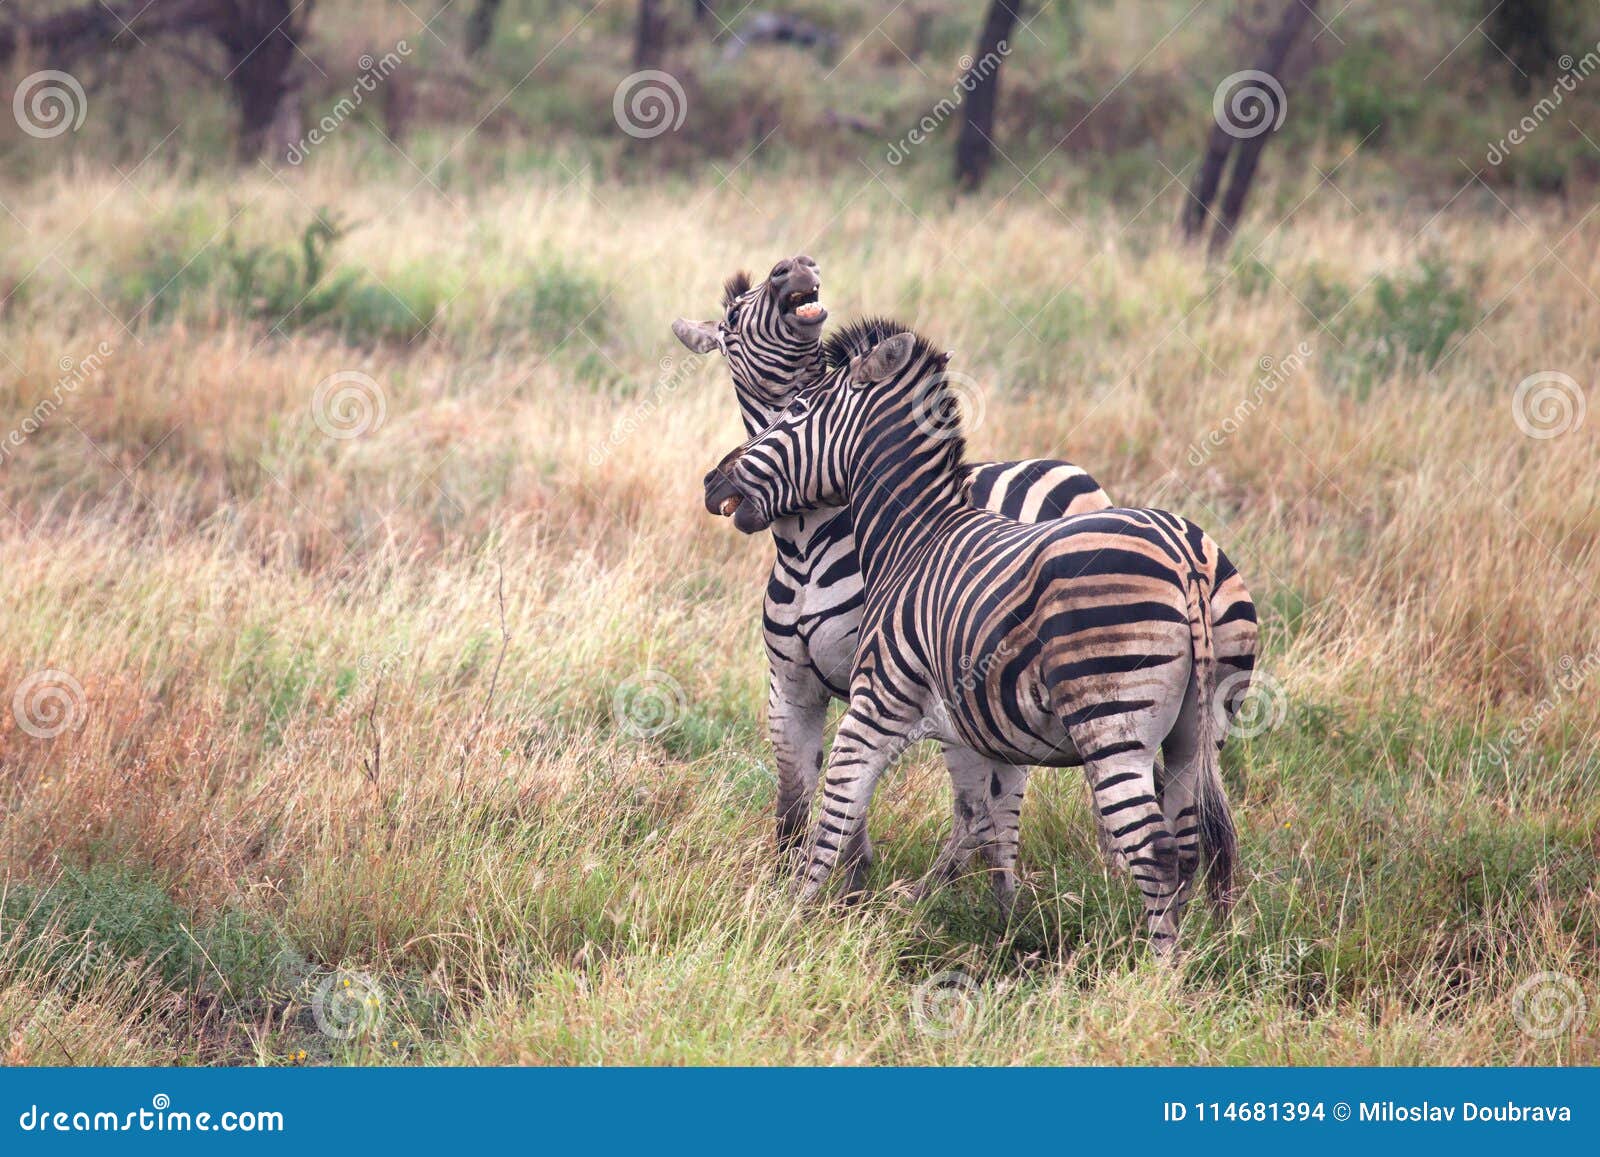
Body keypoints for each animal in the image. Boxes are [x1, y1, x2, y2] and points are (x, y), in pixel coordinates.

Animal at [674, 257, 1121, 904]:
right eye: (733, 318)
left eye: (802, 407)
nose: (794, 266)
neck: (804, 543)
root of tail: (1070, 468)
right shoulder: (790, 686)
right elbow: (795, 793)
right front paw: (789, 876)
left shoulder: (878, 678)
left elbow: (852, 792)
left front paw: (853, 886)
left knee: (1004, 793)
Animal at [703, 320, 1244, 953]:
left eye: (795, 409)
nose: (713, 482)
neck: (914, 536)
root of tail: (1185, 560)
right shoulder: (974, 721)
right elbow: (984, 816)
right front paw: (999, 918)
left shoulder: (878, 700)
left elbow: (840, 801)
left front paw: (797, 912)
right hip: (1198, 730)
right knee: (1187, 842)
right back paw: (1190, 953)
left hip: (1113, 723)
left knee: (1154, 851)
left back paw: (1154, 970)